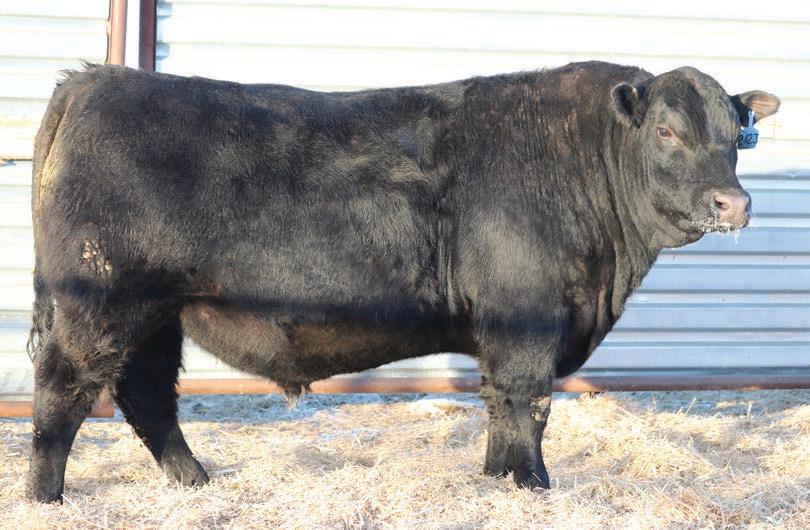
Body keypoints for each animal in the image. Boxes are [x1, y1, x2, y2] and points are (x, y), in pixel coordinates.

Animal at [26, 61, 779, 502]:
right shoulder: (528, 319)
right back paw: (45, 496)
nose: (733, 204)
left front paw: (497, 481)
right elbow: (529, 403)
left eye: (738, 135)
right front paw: (533, 486)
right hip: (99, 300)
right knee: (64, 389)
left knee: (146, 393)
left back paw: (194, 482)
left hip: (158, 310)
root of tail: (94, 80)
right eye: (666, 132)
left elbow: (499, 404)